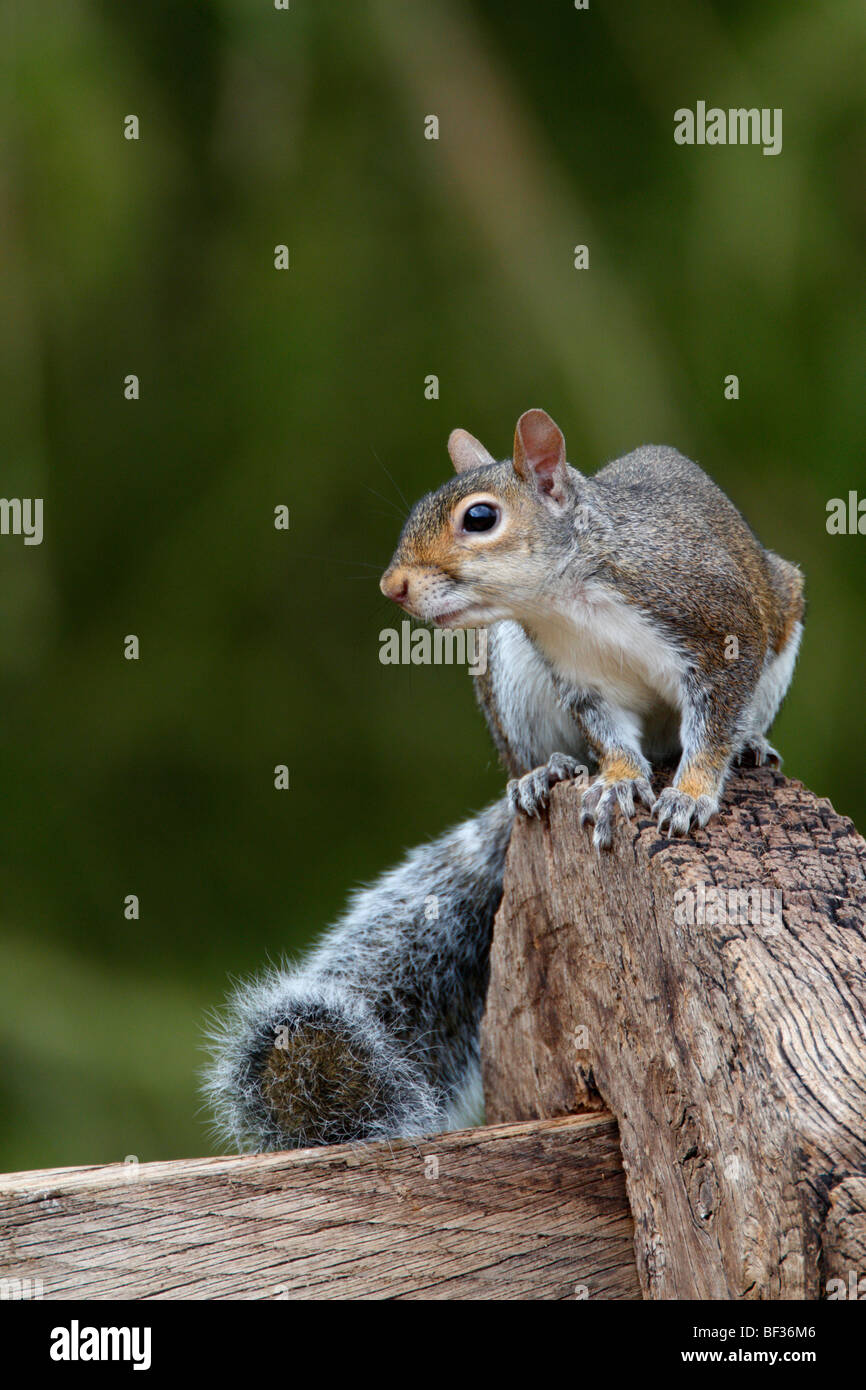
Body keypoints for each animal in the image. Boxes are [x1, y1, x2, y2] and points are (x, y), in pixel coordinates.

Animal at [206, 408, 803, 1151]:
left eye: (480, 518)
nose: (392, 587)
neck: (569, 598)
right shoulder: (580, 681)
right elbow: (611, 740)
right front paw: (614, 780)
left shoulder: (721, 630)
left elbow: (713, 724)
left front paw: (691, 793)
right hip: (508, 670)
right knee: (547, 756)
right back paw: (548, 774)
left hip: (782, 609)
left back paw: (749, 746)